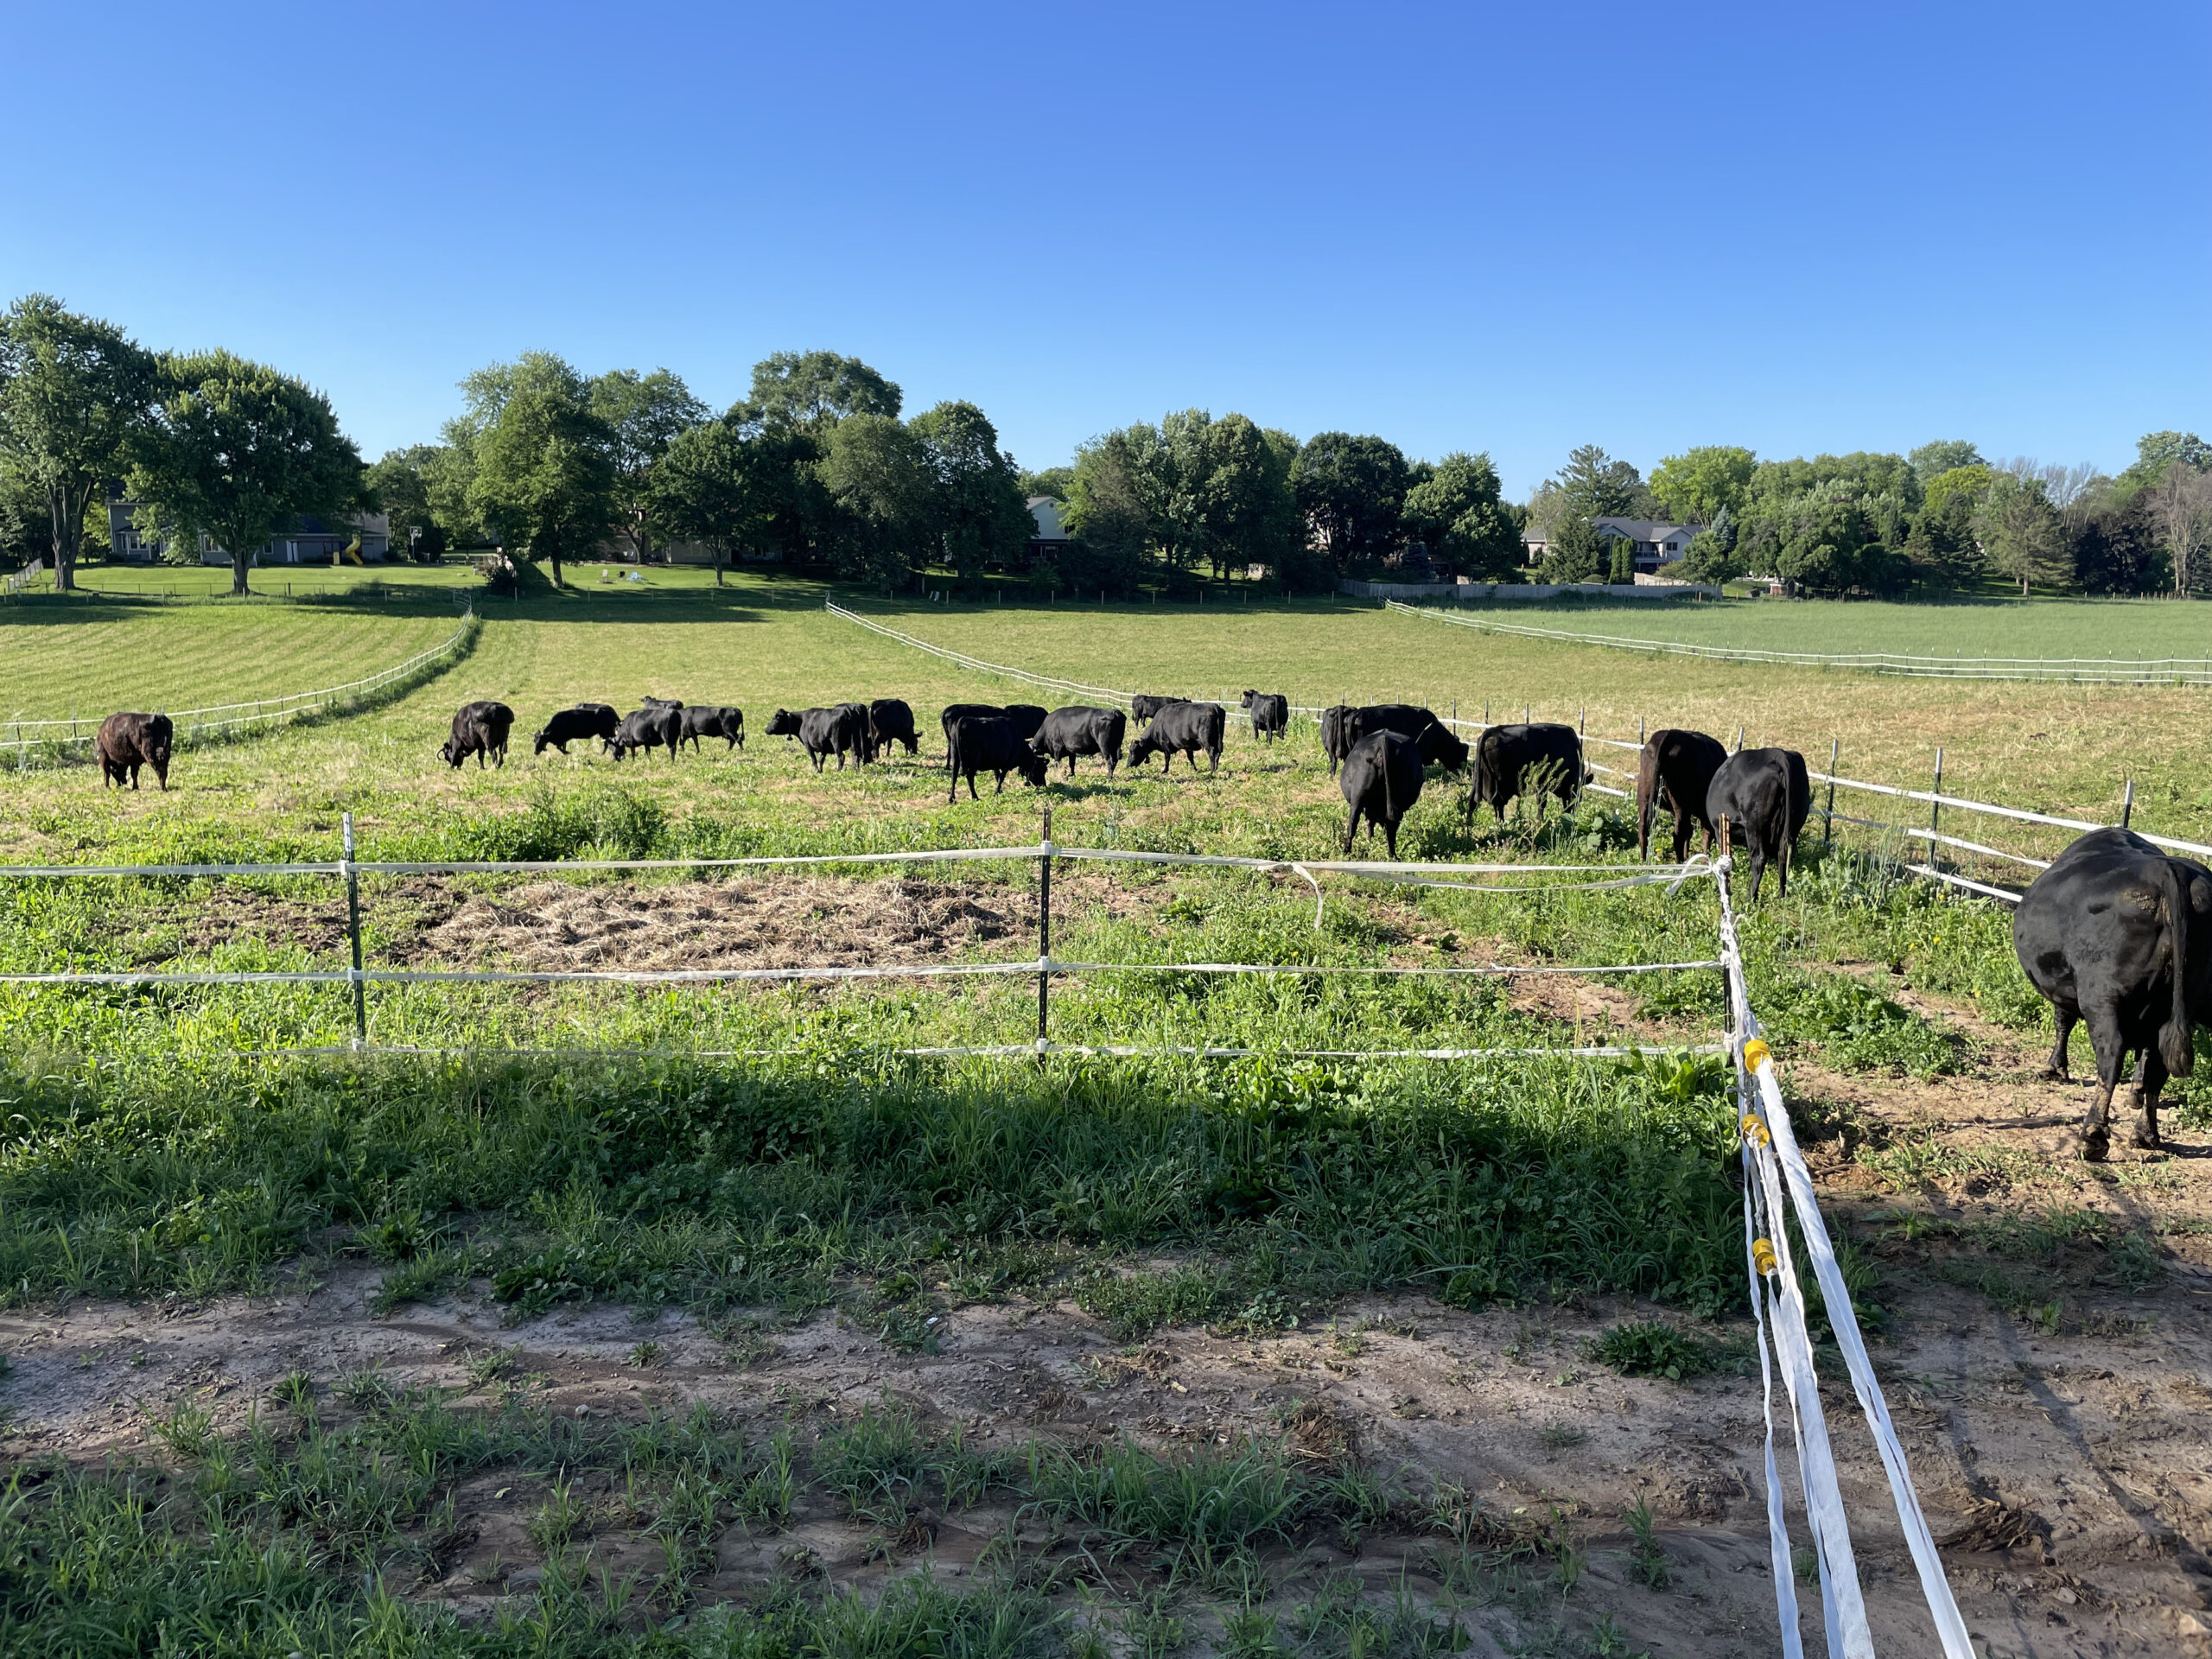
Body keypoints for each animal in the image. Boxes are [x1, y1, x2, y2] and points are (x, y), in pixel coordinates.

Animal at [1339, 732, 1424, 857]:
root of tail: (1383, 739)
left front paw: (1370, 841)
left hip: (1357, 799)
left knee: (1353, 824)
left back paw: (1347, 852)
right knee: (1391, 829)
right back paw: (1393, 856)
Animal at [1465, 723, 1586, 825]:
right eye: (1578, 800)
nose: (1571, 815)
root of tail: (1494, 730)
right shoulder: (1543, 785)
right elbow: (1542, 804)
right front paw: (1540, 821)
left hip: (1478, 780)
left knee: (1473, 802)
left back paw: (1468, 824)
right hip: (1500, 785)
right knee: (1498, 804)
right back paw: (1501, 825)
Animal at [1636, 728, 1728, 862]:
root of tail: (1669, 734)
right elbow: (1706, 833)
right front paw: (1705, 859)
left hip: (1644, 796)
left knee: (1643, 828)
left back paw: (1642, 860)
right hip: (1681, 805)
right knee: (1678, 835)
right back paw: (1679, 861)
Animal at [1704, 747, 1811, 902]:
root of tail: (1778, 754)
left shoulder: (1720, 830)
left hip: (1754, 826)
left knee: (1759, 859)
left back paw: (1750, 898)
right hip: (1794, 823)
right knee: (1783, 856)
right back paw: (1782, 896)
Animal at [2013, 827, 2212, 1160]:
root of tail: (2169, 868)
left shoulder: (2065, 984)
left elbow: (2062, 1022)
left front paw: (2055, 1068)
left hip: (2103, 997)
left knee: (2111, 1055)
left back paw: (2091, 1136)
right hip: (2177, 1001)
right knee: (2158, 1065)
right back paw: (2145, 1135)